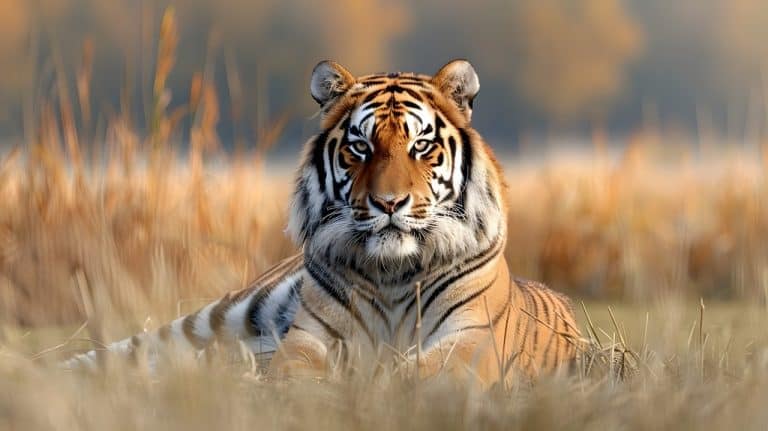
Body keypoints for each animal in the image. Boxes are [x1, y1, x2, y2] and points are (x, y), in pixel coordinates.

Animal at [63, 60, 583, 387]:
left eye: (420, 146)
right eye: (360, 147)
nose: (389, 203)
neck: (395, 271)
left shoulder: (471, 341)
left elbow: (419, 372)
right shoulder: (310, 338)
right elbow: (298, 370)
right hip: (221, 315)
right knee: (125, 352)